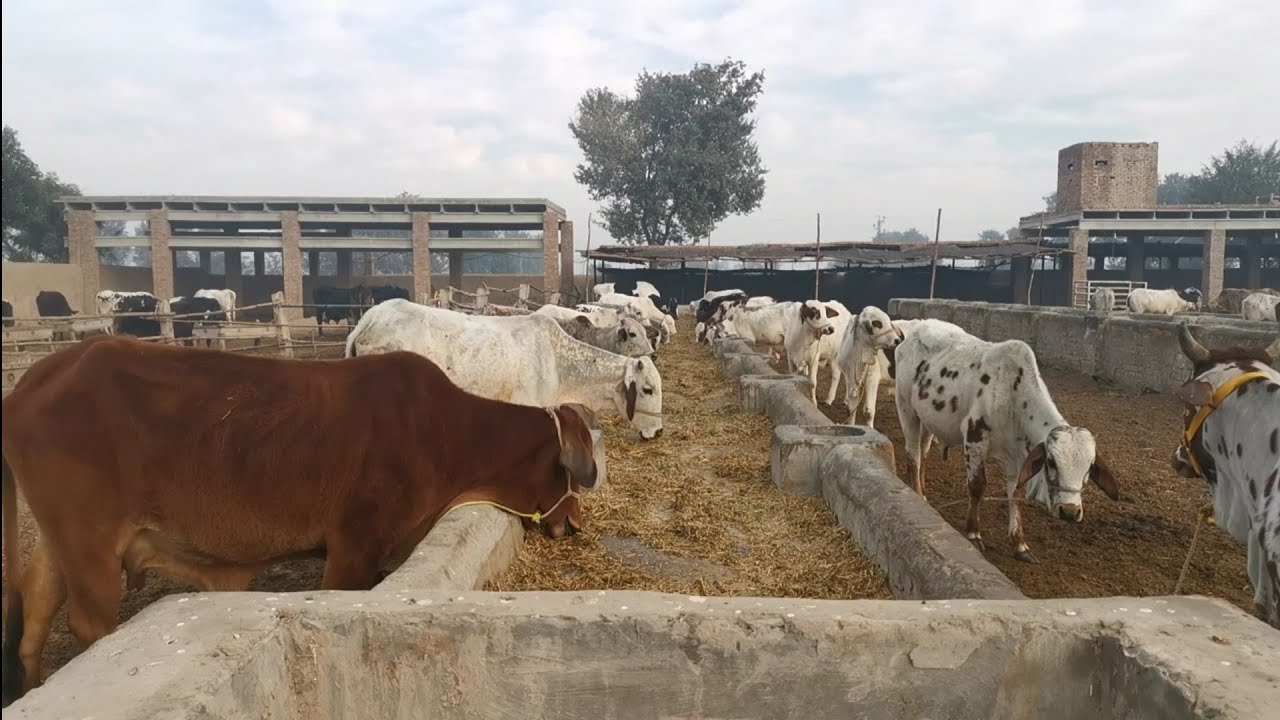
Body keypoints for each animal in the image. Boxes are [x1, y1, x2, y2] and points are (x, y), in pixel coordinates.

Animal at [0, 335, 596, 705]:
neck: (446, 433)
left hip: (65, 540)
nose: (574, 524)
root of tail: (36, 377)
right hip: (91, 543)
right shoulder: (353, 549)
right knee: (89, 624)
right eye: (577, 471)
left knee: (35, 608)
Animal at [894, 321, 1119, 564]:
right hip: (907, 410)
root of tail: (914, 330)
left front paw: (1019, 544)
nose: (1069, 511)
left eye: (1090, 467)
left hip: (928, 420)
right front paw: (973, 533)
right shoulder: (975, 438)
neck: (1012, 395)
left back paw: (924, 494)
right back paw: (917, 494)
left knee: (923, 452)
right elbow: (977, 486)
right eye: (1051, 462)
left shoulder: (1018, 456)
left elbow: (1016, 493)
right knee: (913, 455)